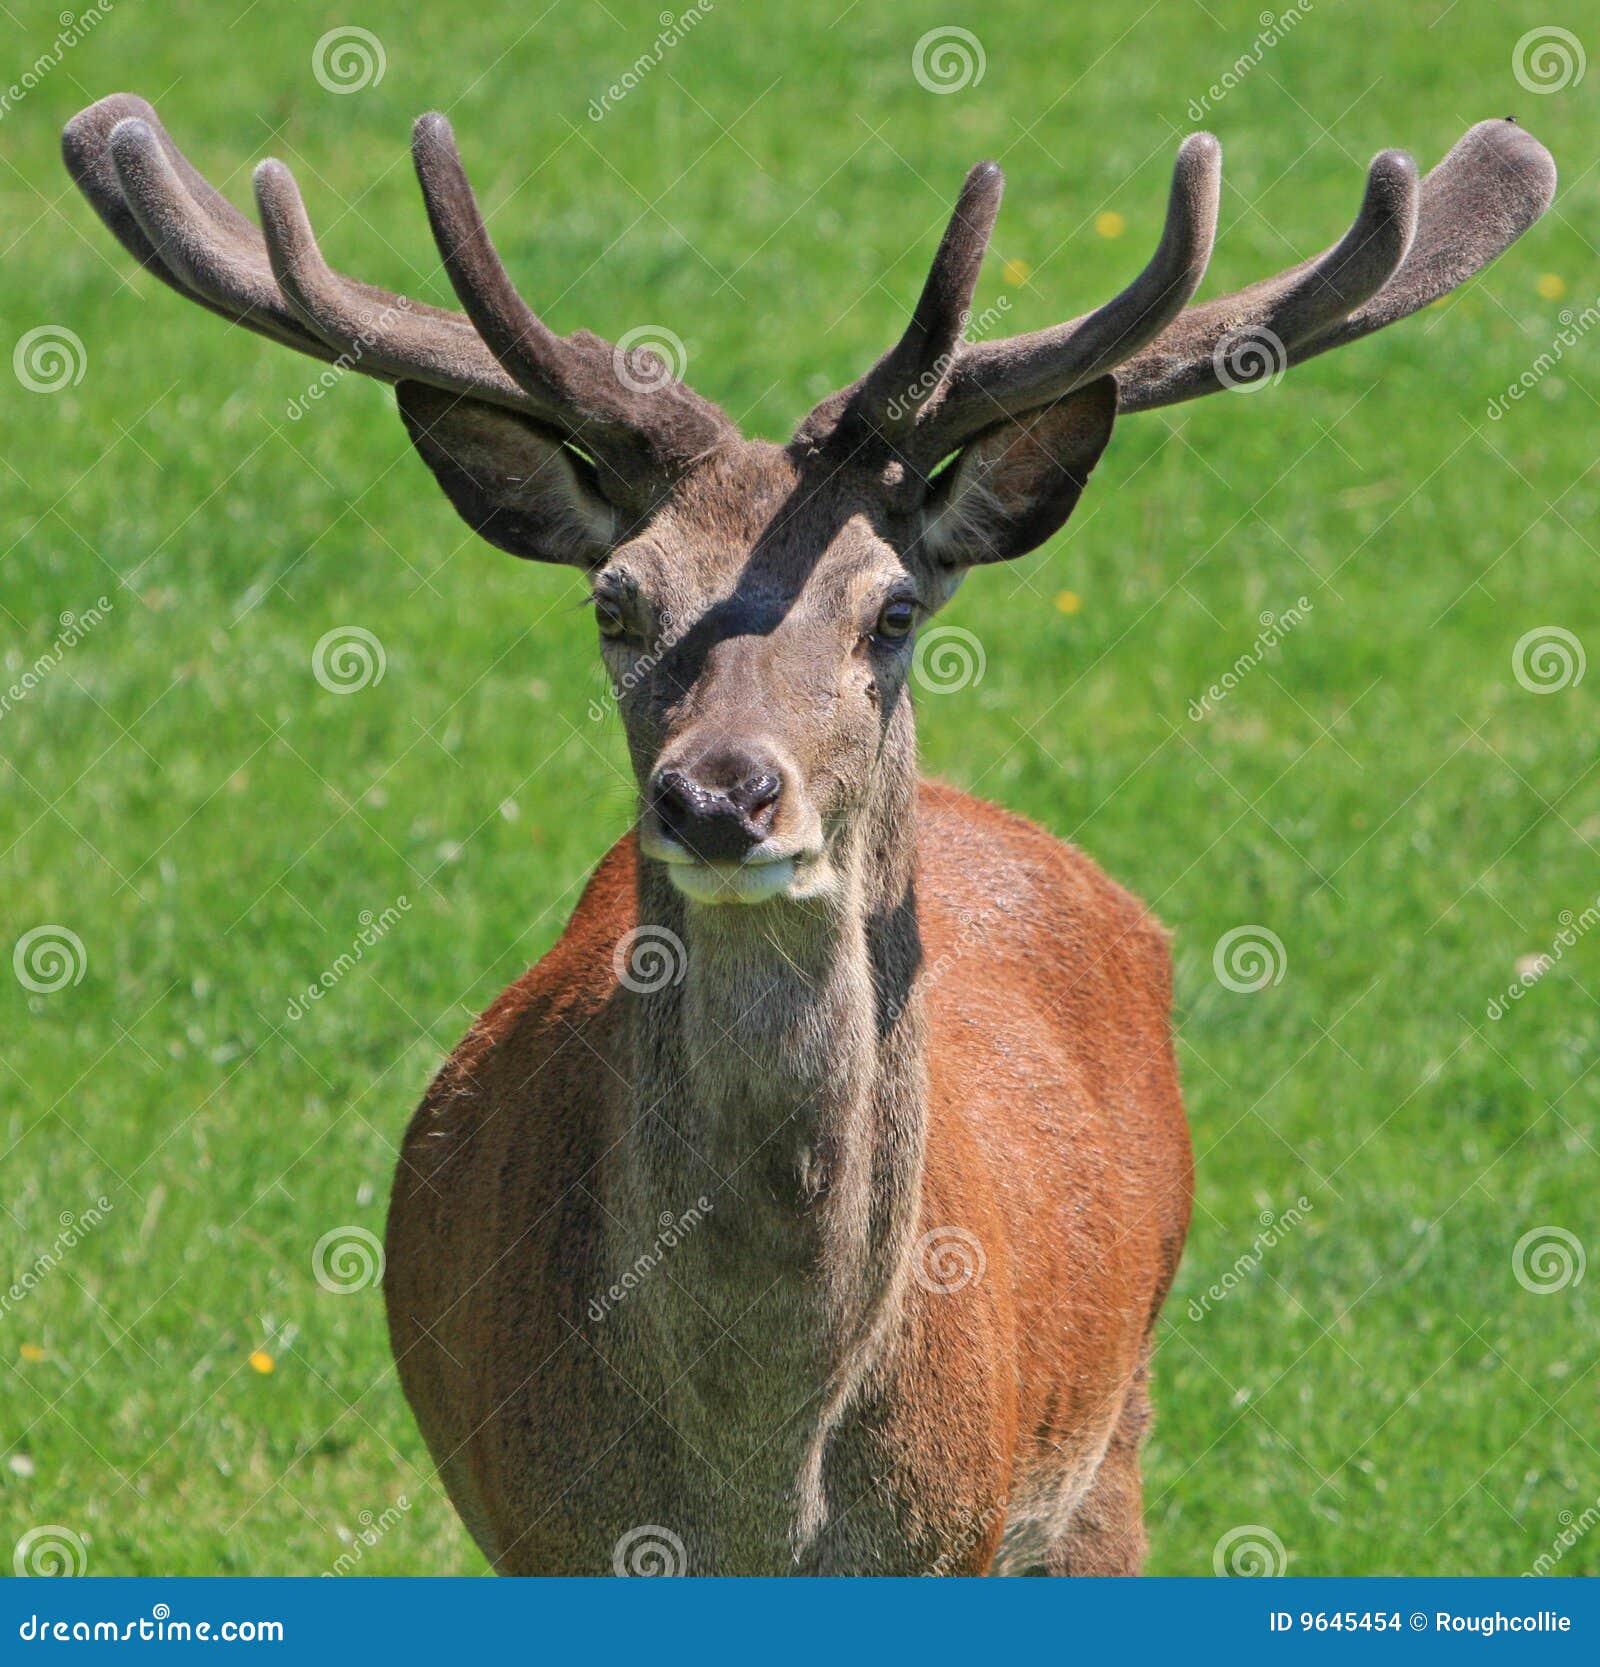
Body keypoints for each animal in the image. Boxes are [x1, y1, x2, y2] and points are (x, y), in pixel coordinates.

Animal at [64, 94, 1554, 1575]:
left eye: (890, 610)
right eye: (614, 600)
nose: (720, 795)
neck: (755, 1483)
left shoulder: (953, 1537)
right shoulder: (535, 1529)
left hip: (1110, 1440)